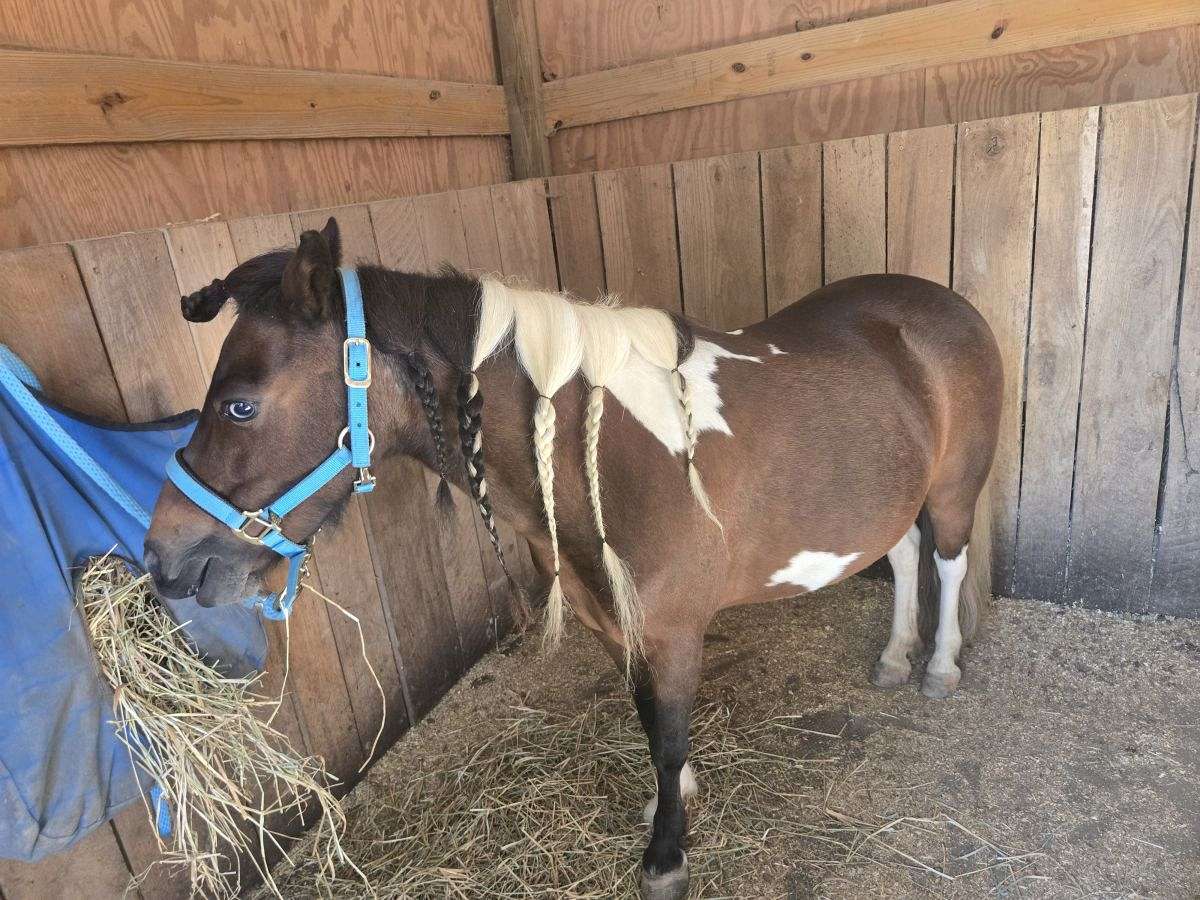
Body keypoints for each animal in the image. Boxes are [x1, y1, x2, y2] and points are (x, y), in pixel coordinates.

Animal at [144, 217, 1001, 899]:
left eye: (241, 405)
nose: (163, 559)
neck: (613, 456)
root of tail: (943, 306)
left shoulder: (674, 630)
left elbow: (669, 733)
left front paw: (665, 857)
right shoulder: (615, 624)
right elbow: (649, 722)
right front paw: (670, 803)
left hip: (954, 488)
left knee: (946, 559)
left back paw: (938, 667)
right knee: (904, 555)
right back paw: (893, 656)